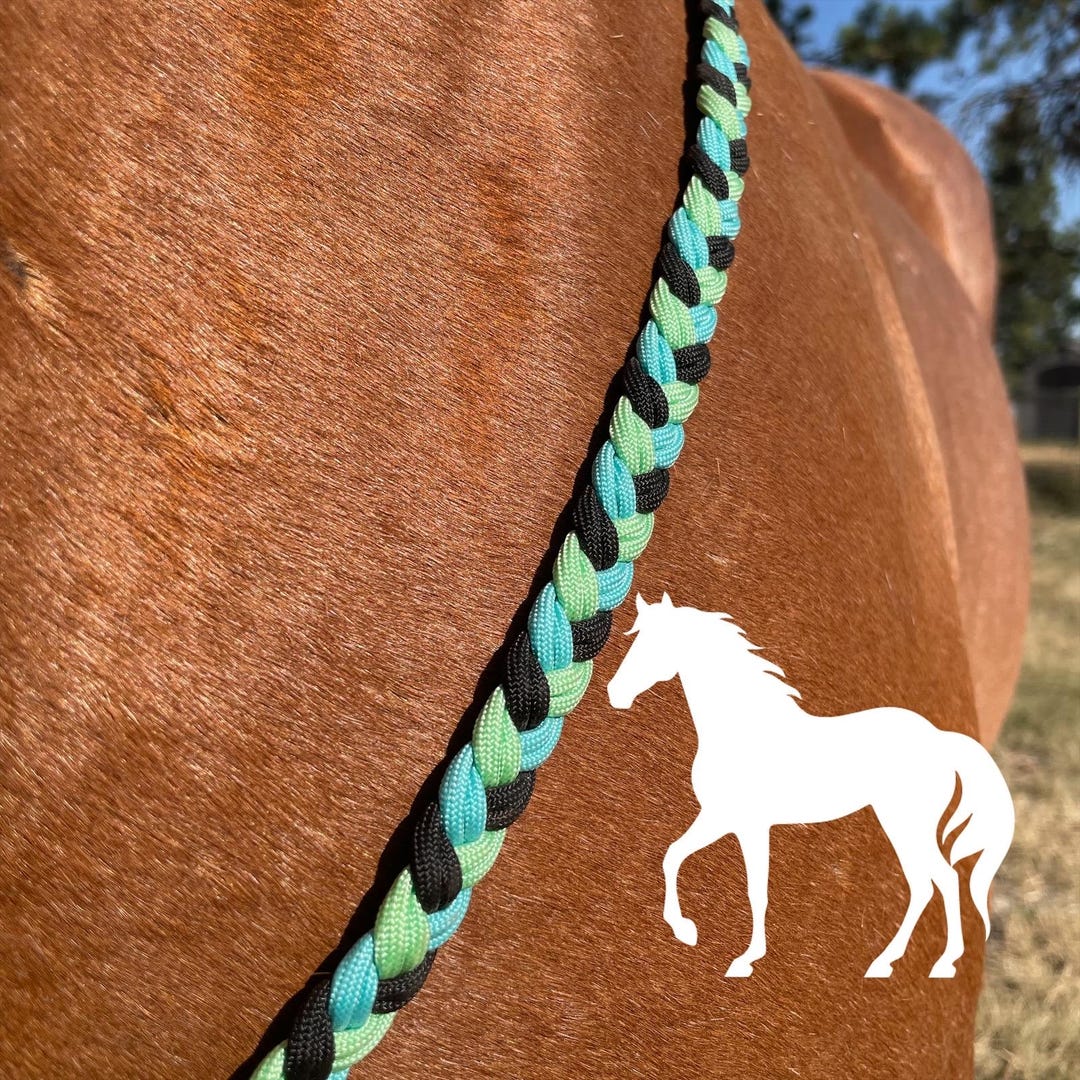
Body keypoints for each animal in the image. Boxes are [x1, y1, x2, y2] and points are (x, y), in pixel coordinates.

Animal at [607, 593, 1015, 980]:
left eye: (654, 644)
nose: (614, 692)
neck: (742, 730)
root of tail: (940, 739)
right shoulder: (718, 818)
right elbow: (673, 855)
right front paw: (686, 930)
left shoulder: (745, 825)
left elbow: (755, 890)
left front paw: (744, 960)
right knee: (927, 883)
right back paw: (889, 962)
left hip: (906, 824)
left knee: (940, 879)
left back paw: (935, 963)